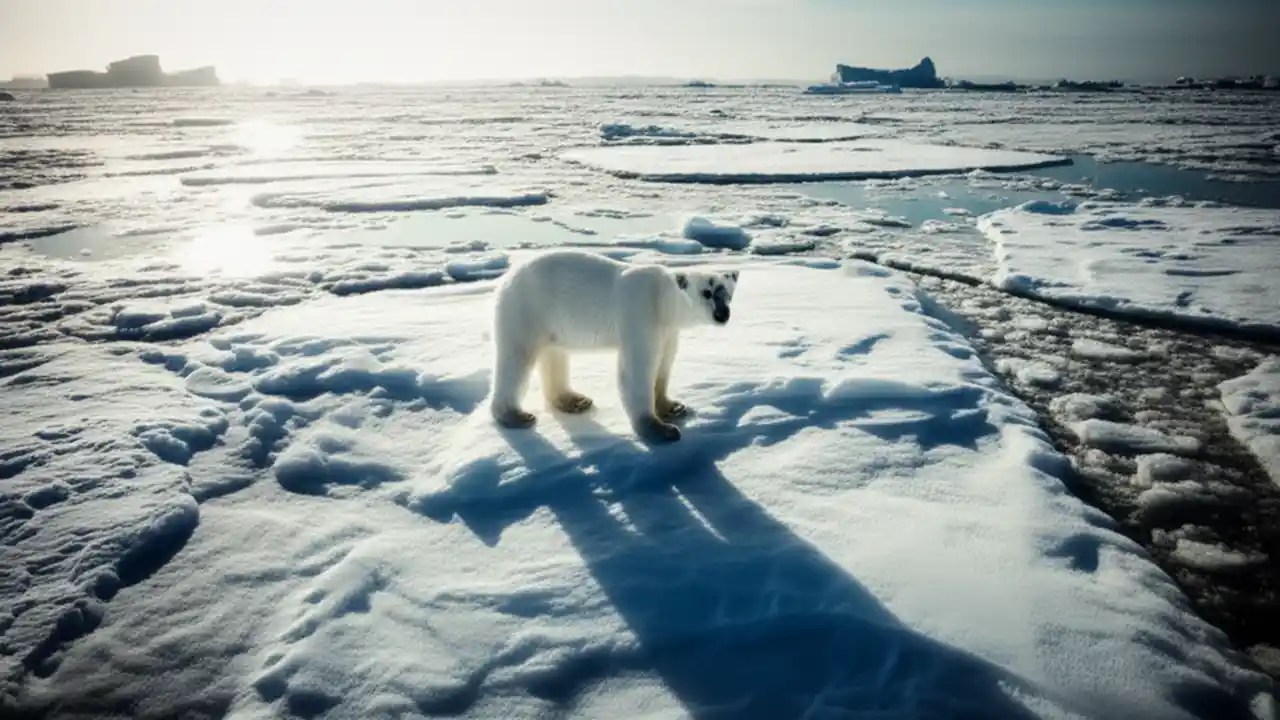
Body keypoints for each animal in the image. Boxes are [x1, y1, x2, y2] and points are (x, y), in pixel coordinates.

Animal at [489, 250, 739, 442]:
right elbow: (637, 369)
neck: (662, 299)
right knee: (515, 359)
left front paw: (674, 407)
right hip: (526, 309)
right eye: (707, 292)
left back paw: (575, 401)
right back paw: (515, 416)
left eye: (727, 293)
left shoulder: (667, 330)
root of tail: (505, 280)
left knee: (554, 355)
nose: (722, 314)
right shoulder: (641, 314)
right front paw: (661, 430)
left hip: (550, 323)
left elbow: (664, 364)